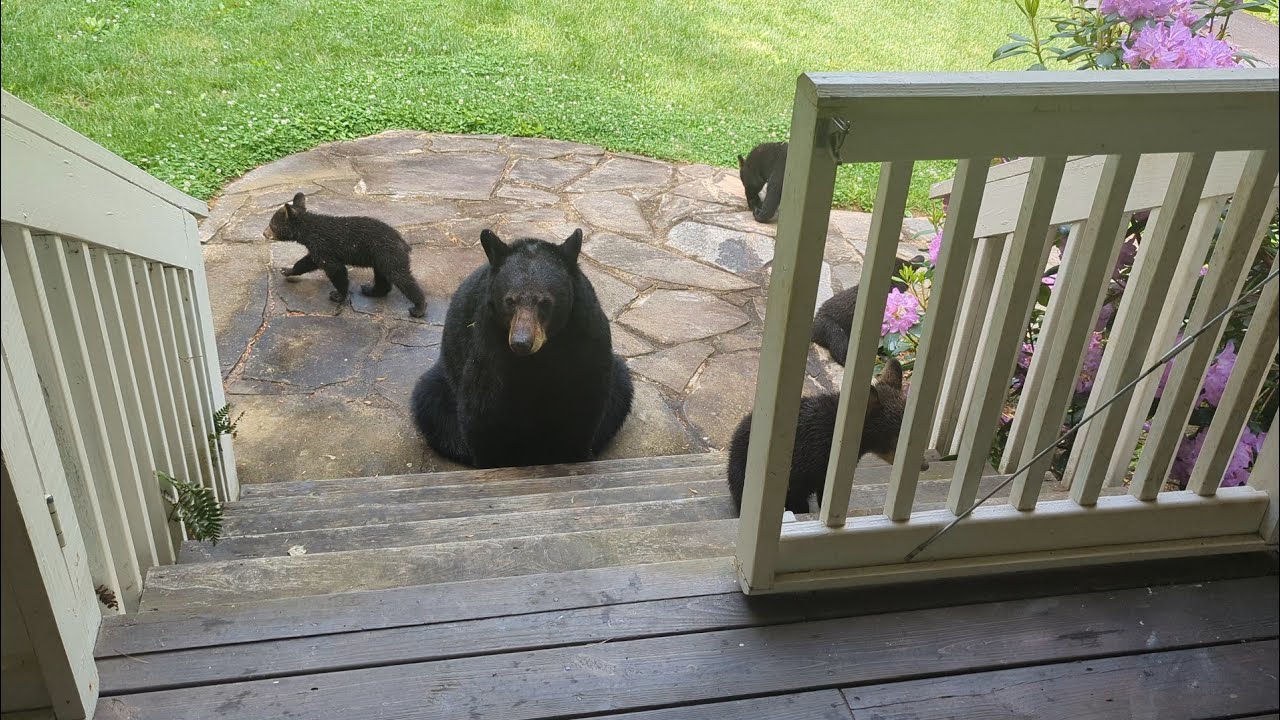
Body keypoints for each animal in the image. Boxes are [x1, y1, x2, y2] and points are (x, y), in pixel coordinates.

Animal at [265, 192, 427, 318]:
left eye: (271, 225)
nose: (264, 233)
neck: (309, 230)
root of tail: (403, 242)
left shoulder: (323, 245)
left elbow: (335, 269)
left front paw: (338, 295)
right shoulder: (317, 248)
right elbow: (308, 261)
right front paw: (287, 270)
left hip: (388, 254)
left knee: (401, 277)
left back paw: (418, 307)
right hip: (380, 258)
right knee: (383, 276)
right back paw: (371, 290)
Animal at [411, 228, 634, 468]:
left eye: (545, 302)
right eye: (510, 301)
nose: (521, 342)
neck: (540, 355)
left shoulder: (585, 335)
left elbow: (584, 398)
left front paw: (574, 455)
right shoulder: (489, 345)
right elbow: (483, 409)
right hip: (443, 384)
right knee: (431, 403)